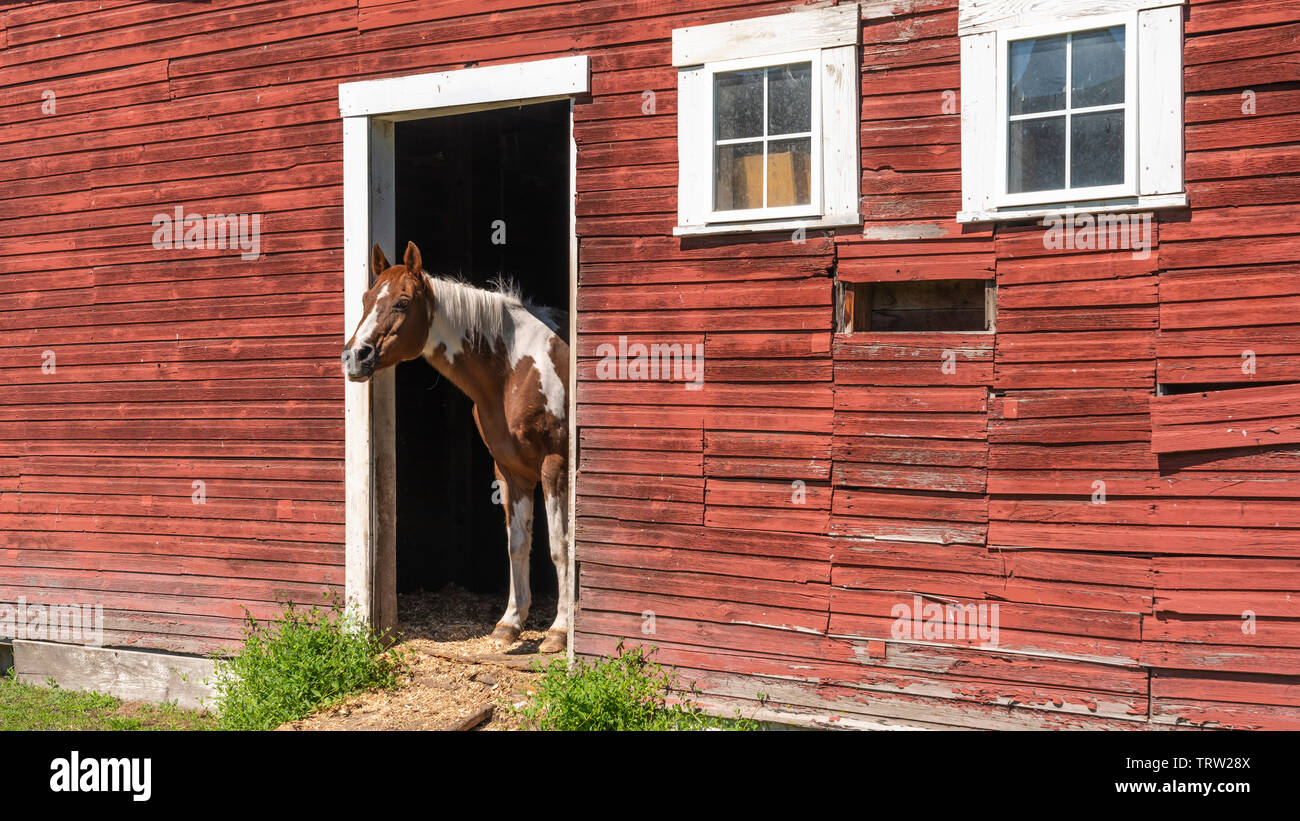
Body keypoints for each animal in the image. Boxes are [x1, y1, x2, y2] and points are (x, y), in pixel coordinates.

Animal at [341, 241, 571, 654]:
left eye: (401, 303)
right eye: (366, 299)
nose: (354, 357)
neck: (514, 368)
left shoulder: (554, 465)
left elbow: (559, 546)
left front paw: (559, 631)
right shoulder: (510, 470)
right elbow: (517, 544)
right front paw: (510, 623)